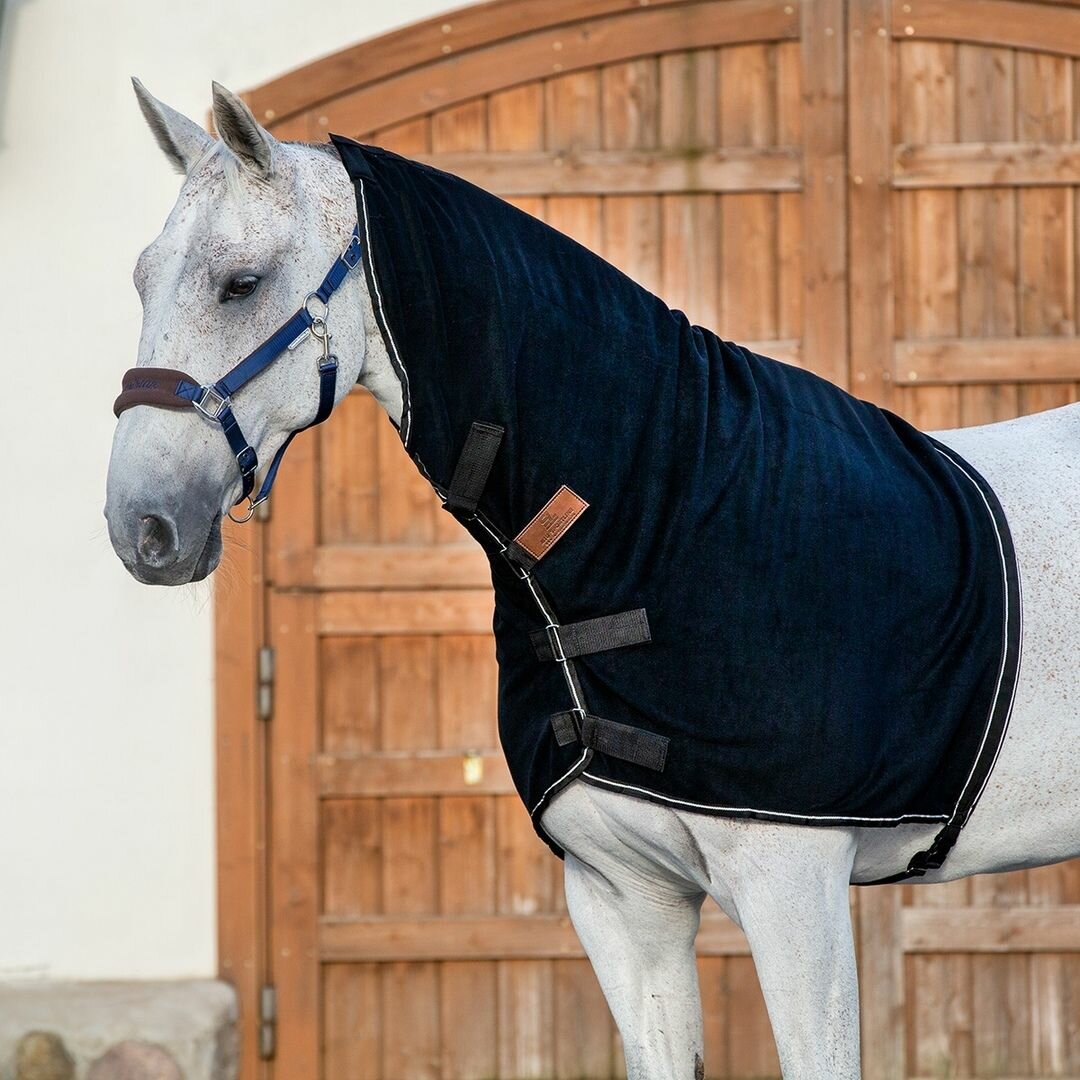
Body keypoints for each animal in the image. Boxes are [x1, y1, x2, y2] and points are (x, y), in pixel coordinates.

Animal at [105, 81, 1080, 1080]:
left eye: (242, 283)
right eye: (142, 279)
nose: (143, 526)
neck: (674, 515)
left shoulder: (795, 893)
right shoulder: (621, 902)